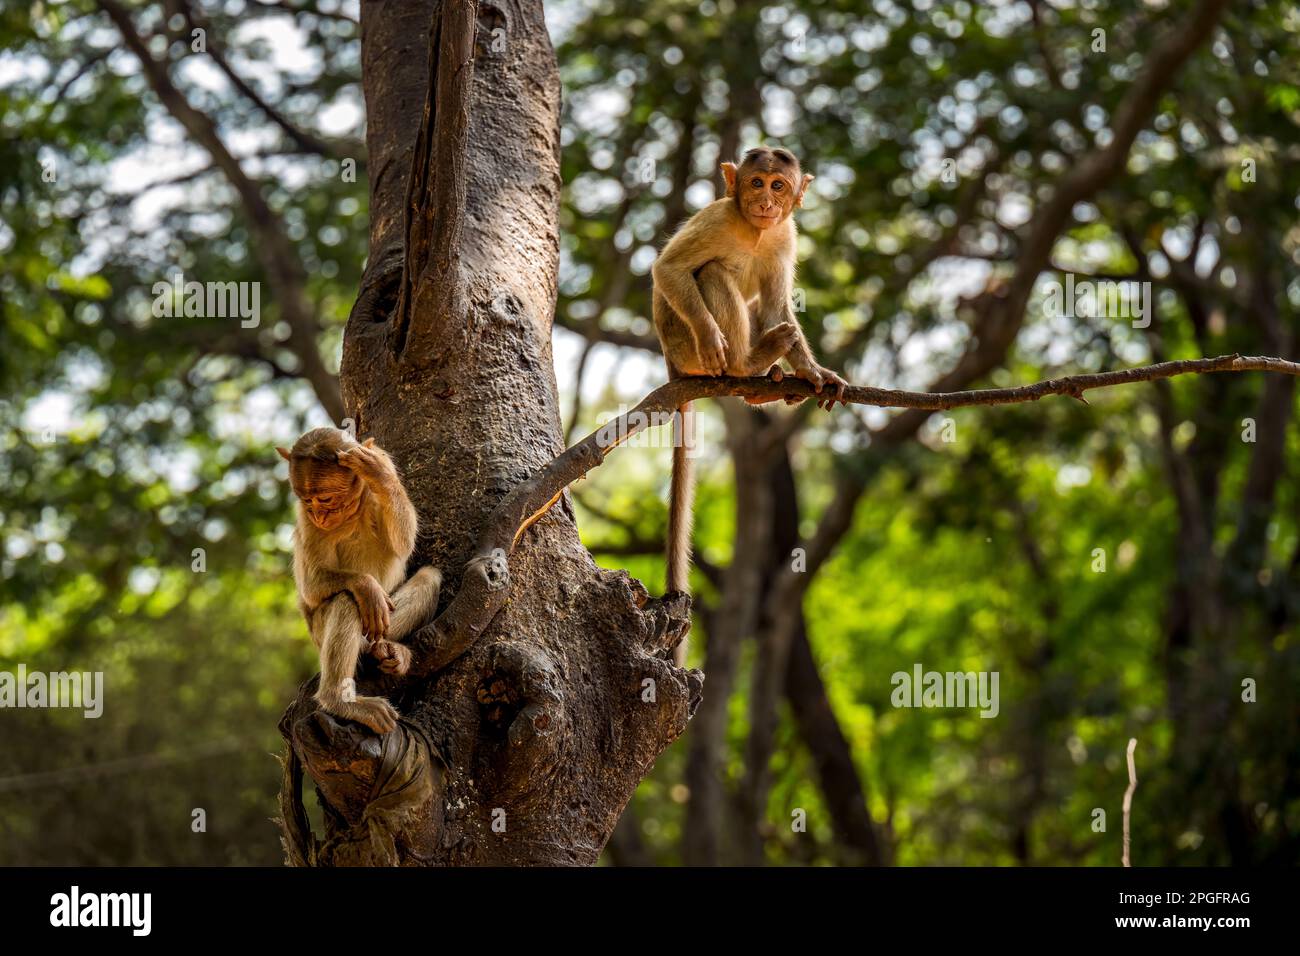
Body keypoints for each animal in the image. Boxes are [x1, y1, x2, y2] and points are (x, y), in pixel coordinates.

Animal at [277, 427, 441, 734]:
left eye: (326, 499)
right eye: (307, 501)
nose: (319, 516)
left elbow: (404, 542)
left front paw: (377, 473)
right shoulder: (306, 521)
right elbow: (313, 586)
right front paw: (367, 586)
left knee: (428, 578)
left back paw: (388, 650)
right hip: (318, 632)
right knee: (348, 600)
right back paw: (340, 700)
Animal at [651, 146, 847, 665]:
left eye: (779, 186)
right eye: (756, 182)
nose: (765, 203)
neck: (753, 229)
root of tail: (672, 366)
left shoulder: (785, 235)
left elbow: (778, 304)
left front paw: (814, 372)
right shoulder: (717, 217)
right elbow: (669, 271)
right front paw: (712, 336)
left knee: (767, 309)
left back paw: (770, 380)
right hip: (684, 350)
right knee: (712, 273)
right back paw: (746, 362)